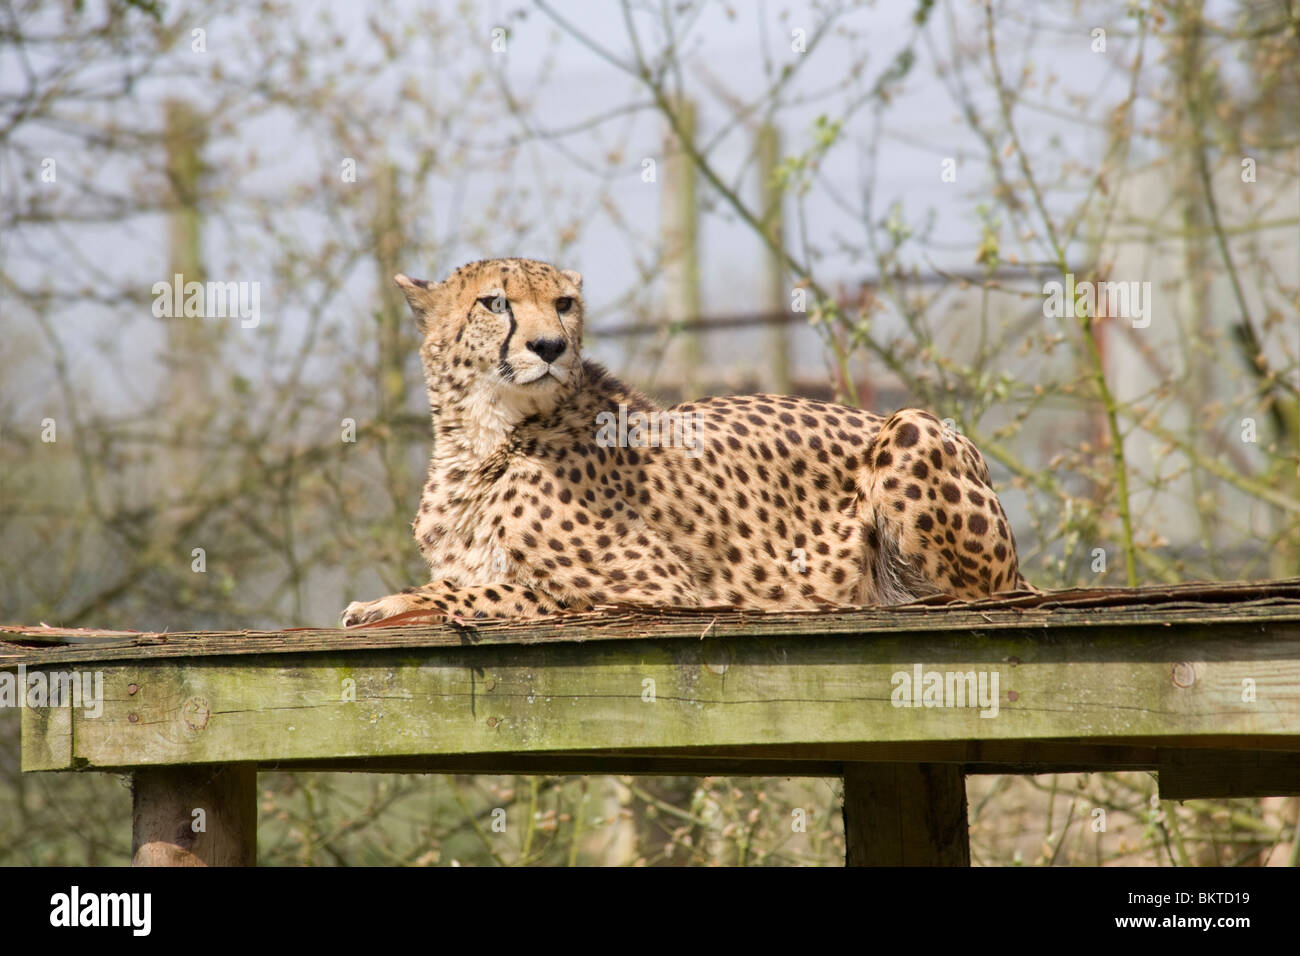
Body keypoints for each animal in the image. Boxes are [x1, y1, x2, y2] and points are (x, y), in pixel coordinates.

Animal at [341, 257, 1033, 626]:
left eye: (563, 303)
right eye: (494, 303)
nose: (550, 346)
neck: (483, 440)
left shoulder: (658, 592)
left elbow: (503, 588)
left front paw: (387, 602)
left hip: (911, 426)